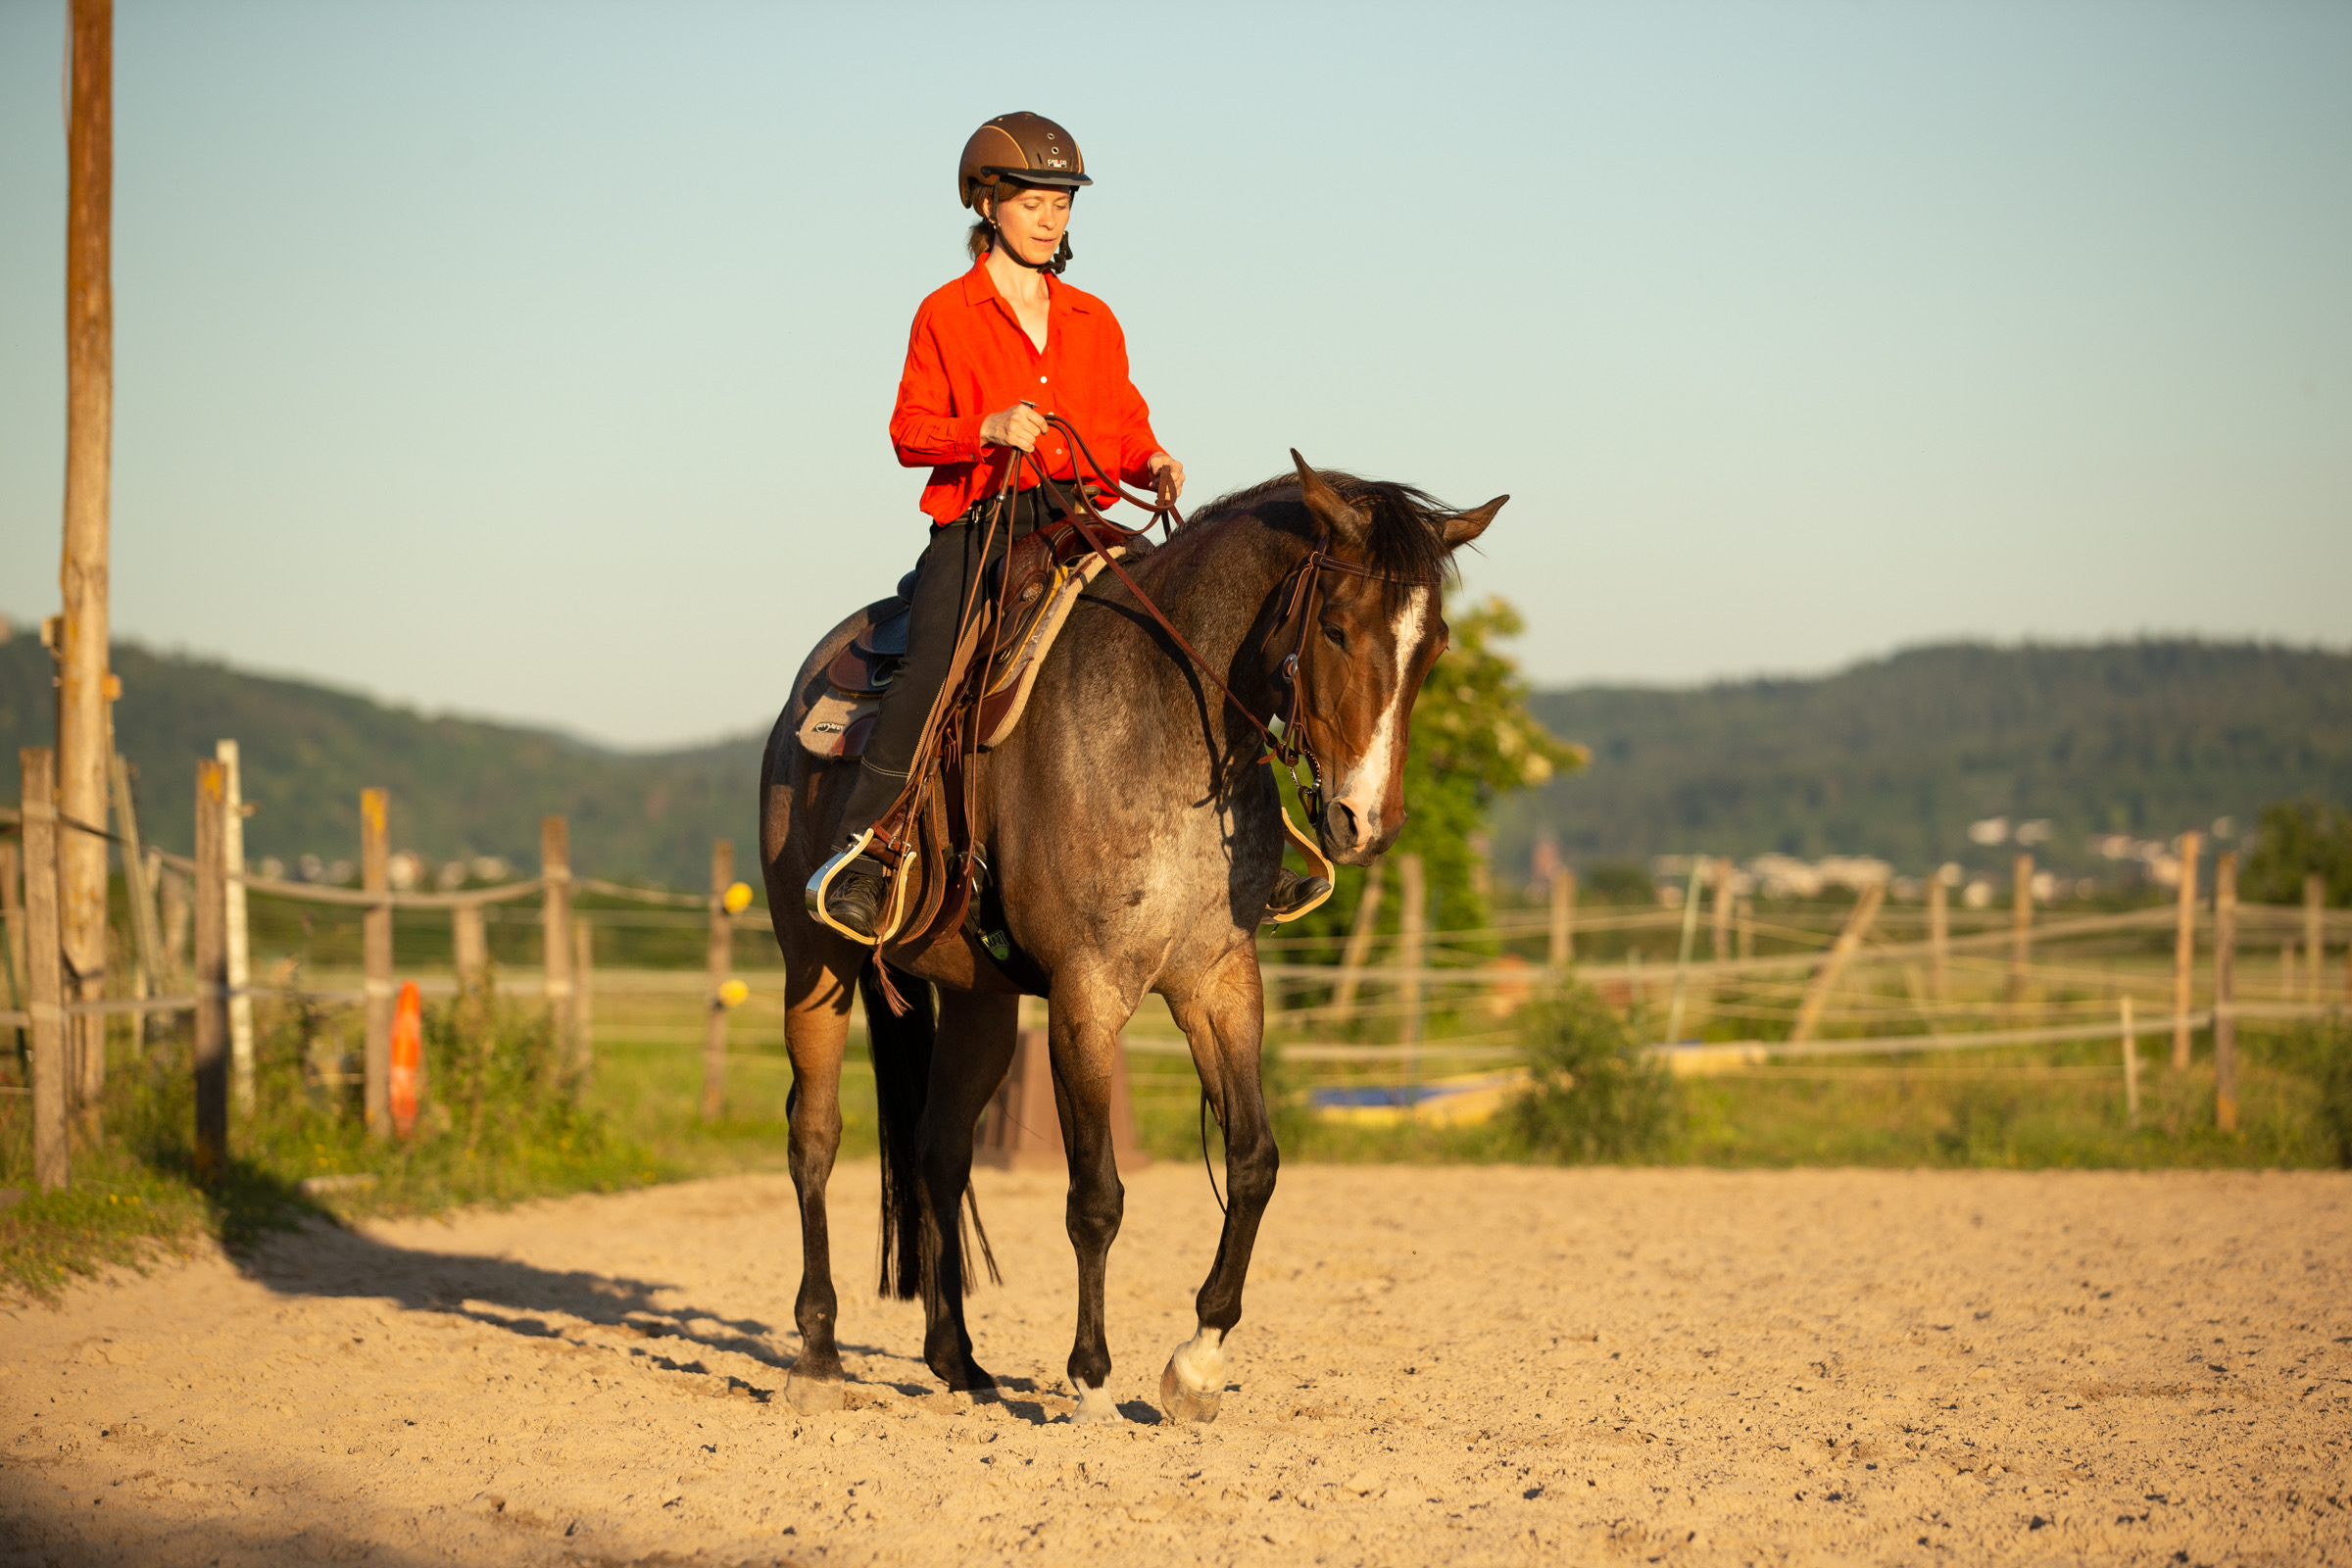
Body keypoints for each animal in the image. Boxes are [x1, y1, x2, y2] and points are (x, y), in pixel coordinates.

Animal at [759, 452, 1504, 1423]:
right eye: (1337, 629)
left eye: (1435, 645)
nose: (1364, 823)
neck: (1158, 722)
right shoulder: (1089, 994)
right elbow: (1096, 1196)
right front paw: (1089, 1377)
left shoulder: (1219, 981)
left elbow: (1254, 1161)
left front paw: (1198, 1363)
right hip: (815, 964)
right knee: (814, 1136)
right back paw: (817, 1354)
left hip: (980, 1006)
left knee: (939, 1151)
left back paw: (959, 1360)